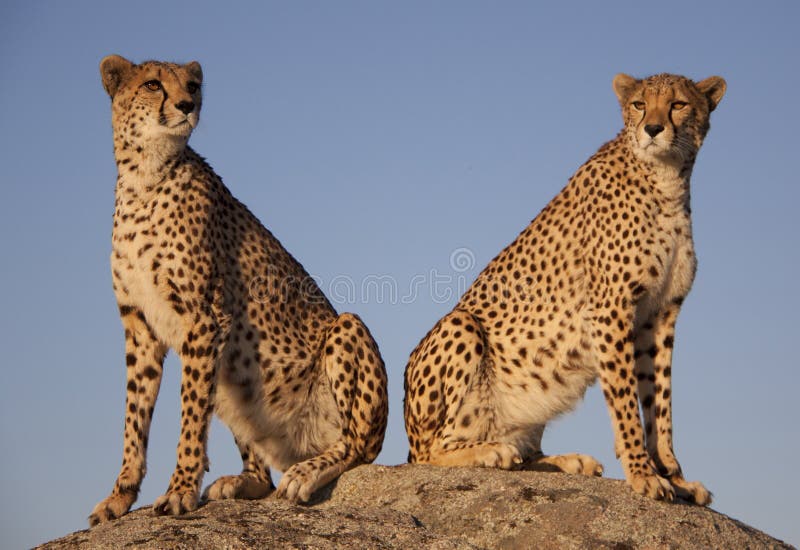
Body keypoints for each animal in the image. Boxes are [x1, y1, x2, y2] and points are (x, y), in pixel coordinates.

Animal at [89, 55, 388, 525]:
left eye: (192, 85)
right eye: (153, 84)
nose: (187, 104)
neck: (146, 176)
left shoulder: (204, 319)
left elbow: (190, 416)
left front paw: (179, 491)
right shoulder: (140, 327)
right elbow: (134, 419)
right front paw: (119, 497)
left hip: (345, 330)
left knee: (357, 446)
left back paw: (307, 471)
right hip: (235, 379)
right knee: (263, 474)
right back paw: (243, 481)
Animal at [404, 72, 726, 505]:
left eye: (678, 104)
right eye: (640, 104)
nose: (653, 129)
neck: (666, 180)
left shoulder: (659, 316)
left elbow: (659, 400)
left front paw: (674, 476)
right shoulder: (611, 310)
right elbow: (626, 401)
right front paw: (643, 474)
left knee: (524, 455)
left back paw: (566, 461)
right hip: (461, 327)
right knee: (431, 451)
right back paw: (489, 451)